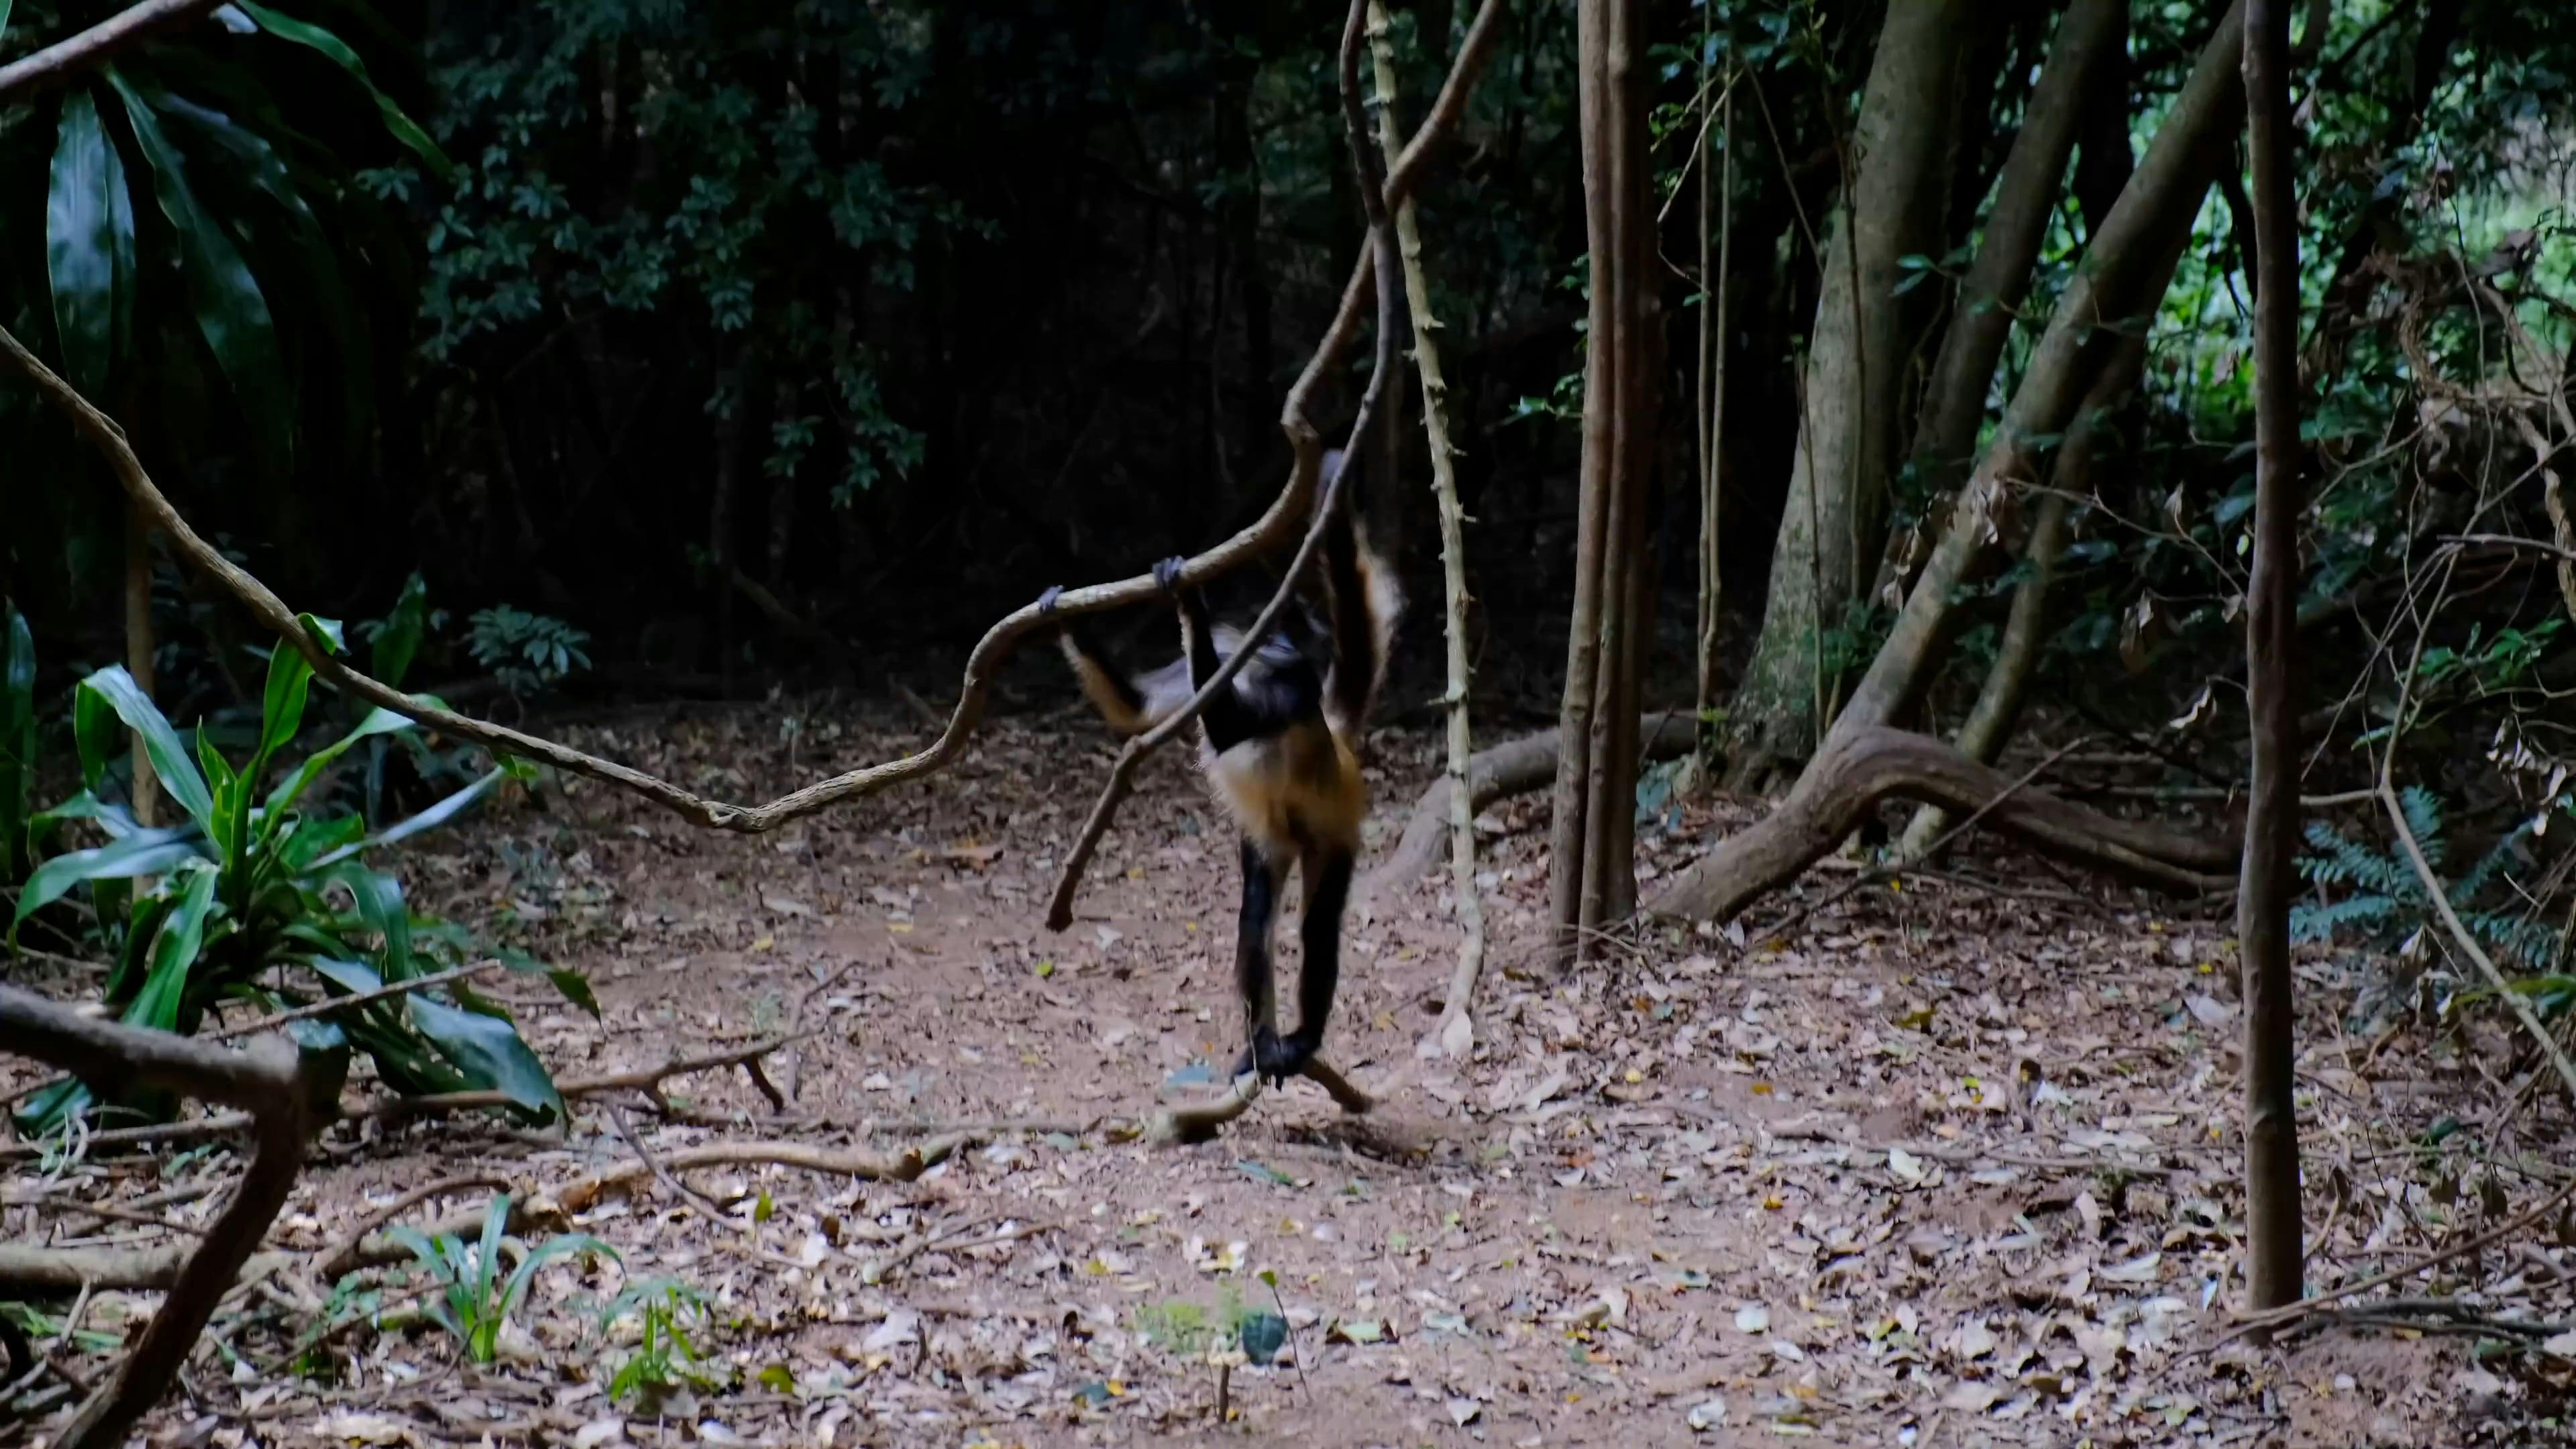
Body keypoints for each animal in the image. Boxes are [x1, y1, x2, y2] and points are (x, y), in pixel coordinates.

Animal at [1038, 450, 1400, 1088]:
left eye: (1288, 635)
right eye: (1273, 628)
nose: (1280, 639)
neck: (1258, 670)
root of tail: (1341, 746)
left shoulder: (1293, 686)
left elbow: (1230, 727)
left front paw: (1190, 605)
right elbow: (1137, 713)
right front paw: (1069, 617)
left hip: (1335, 828)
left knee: (1317, 928)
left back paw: (1303, 1037)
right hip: (1273, 839)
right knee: (1255, 923)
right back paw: (1262, 1043)